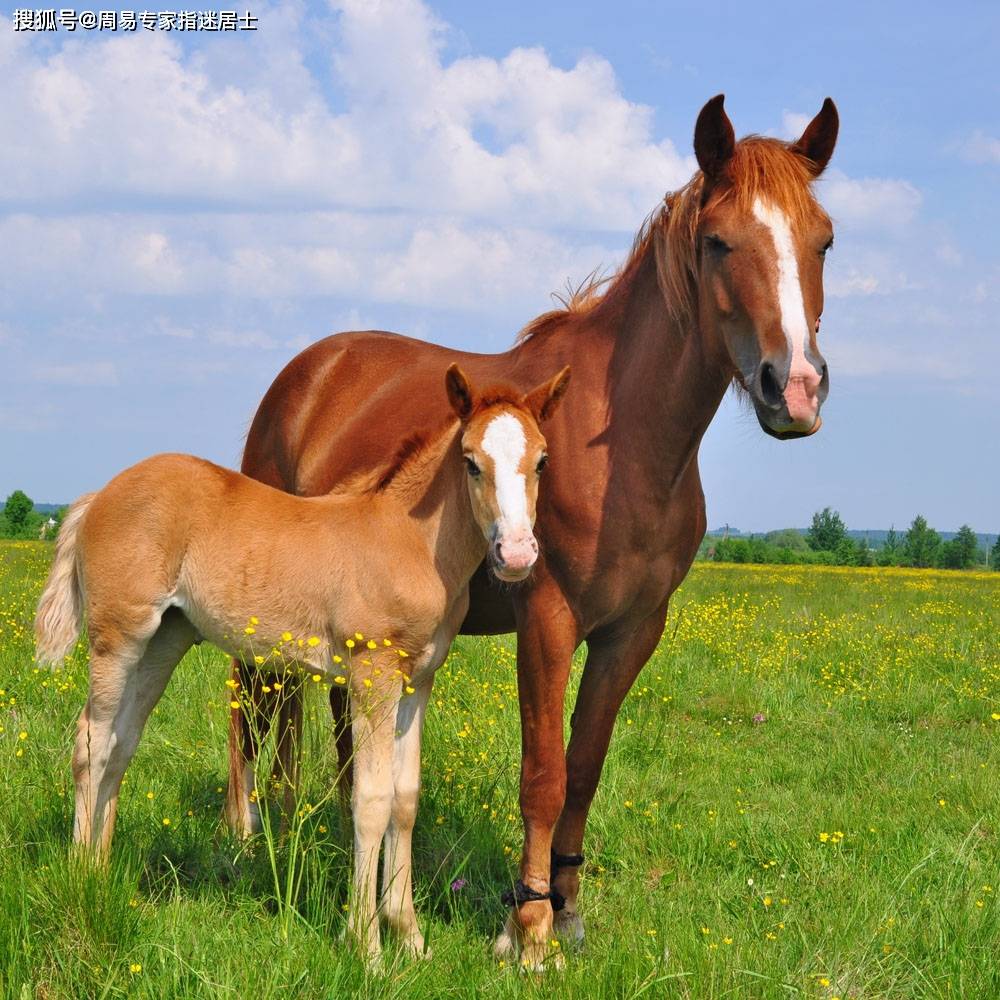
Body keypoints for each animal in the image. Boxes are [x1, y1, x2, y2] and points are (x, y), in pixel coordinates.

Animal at [35, 362, 572, 960]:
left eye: (542, 460)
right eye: (471, 461)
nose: (516, 555)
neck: (408, 540)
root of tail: (98, 495)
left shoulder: (418, 683)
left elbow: (405, 800)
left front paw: (410, 937)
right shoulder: (372, 677)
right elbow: (370, 800)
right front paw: (367, 946)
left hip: (164, 641)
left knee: (121, 742)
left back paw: (101, 869)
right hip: (119, 636)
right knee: (91, 740)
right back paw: (81, 877)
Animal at [225, 94, 836, 968]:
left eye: (823, 239)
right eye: (720, 241)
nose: (797, 390)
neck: (618, 442)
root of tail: (306, 374)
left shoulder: (631, 631)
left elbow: (584, 766)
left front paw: (568, 910)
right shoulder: (547, 619)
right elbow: (543, 772)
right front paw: (529, 929)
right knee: (254, 706)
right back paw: (252, 835)